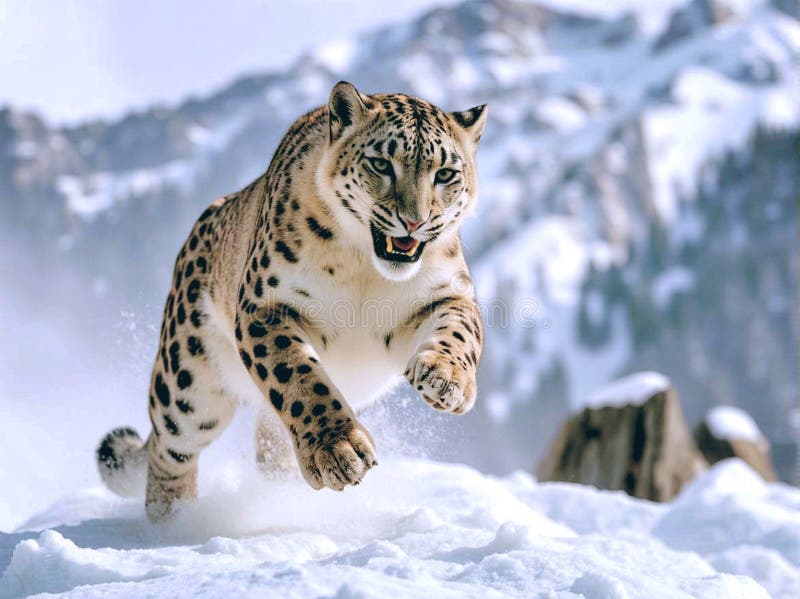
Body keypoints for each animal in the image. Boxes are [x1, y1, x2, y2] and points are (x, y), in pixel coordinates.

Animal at [96, 81, 487, 521]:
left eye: (445, 173)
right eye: (381, 164)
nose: (414, 221)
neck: (365, 269)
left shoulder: (448, 293)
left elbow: (459, 333)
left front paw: (446, 379)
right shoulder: (266, 307)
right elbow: (300, 377)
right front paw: (338, 451)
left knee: (268, 448)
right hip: (187, 381)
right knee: (170, 450)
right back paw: (175, 522)